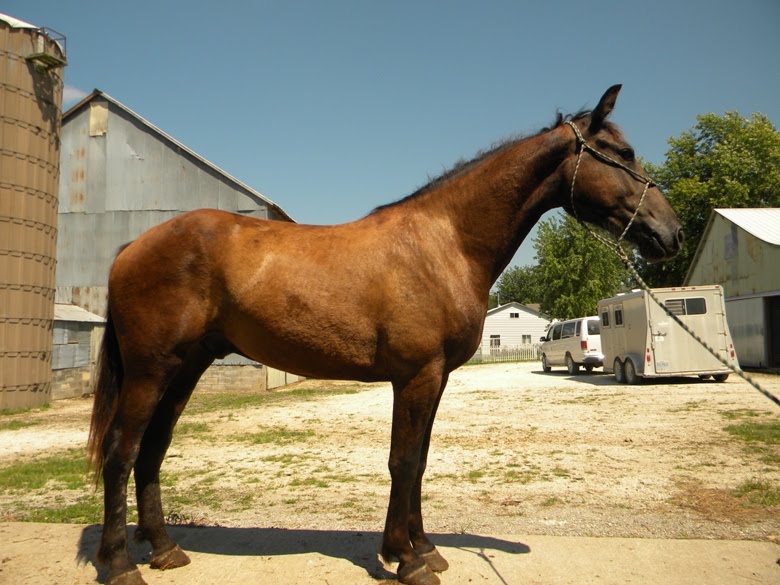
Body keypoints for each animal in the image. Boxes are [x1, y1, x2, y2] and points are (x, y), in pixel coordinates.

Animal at [87, 85, 683, 585]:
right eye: (624, 152)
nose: (670, 233)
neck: (446, 242)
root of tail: (132, 247)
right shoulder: (415, 376)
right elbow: (404, 460)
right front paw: (406, 558)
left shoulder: (435, 378)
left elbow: (418, 460)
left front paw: (422, 548)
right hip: (151, 371)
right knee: (121, 451)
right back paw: (120, 565)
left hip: (185, 368)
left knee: (153, 449)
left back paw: (164, 549)